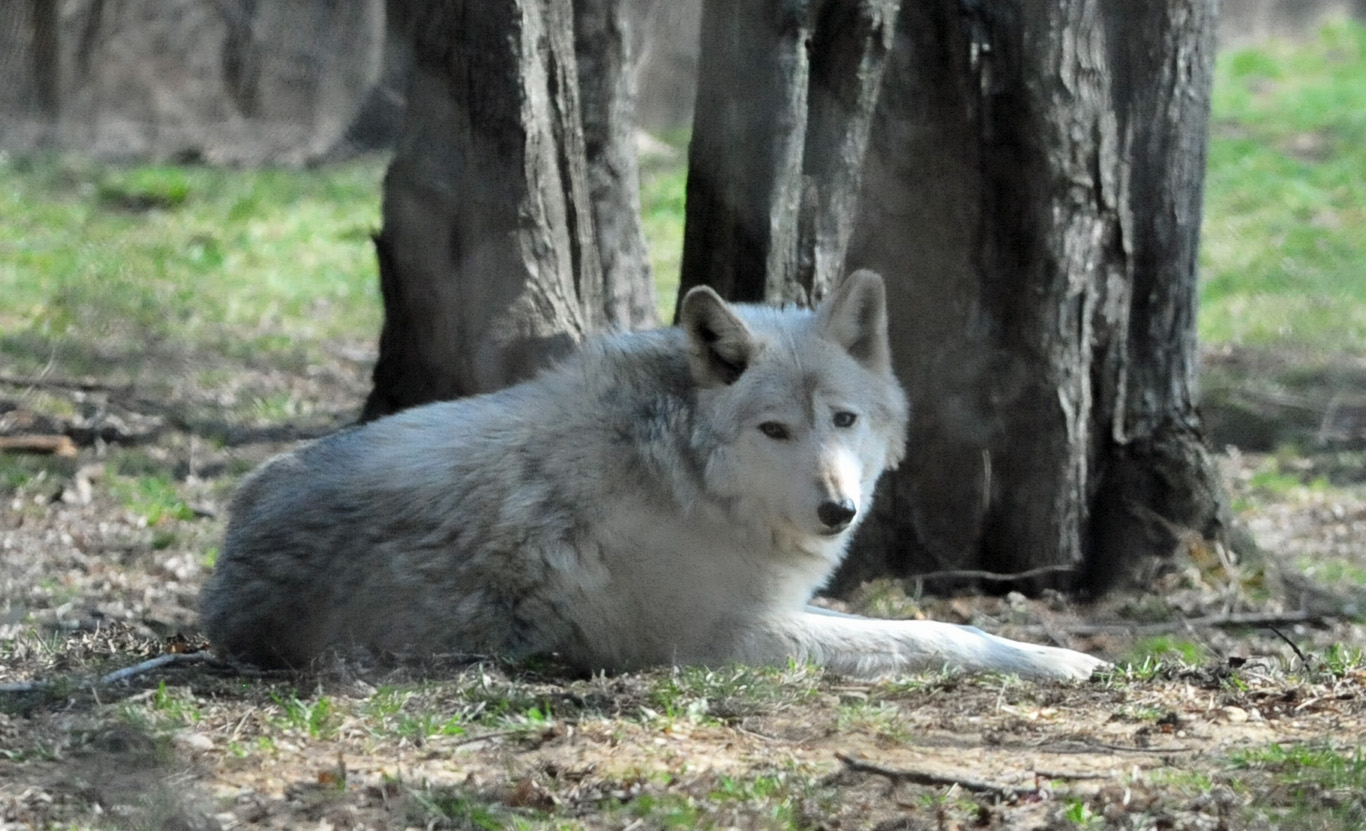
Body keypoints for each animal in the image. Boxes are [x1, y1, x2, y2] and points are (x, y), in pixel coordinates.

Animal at [201, 271, 1107, 681]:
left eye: (844, 419)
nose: (837, 510)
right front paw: (1065, 662)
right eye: (774, 429)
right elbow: (929, 633)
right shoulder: (728, 640)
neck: (685, 479)